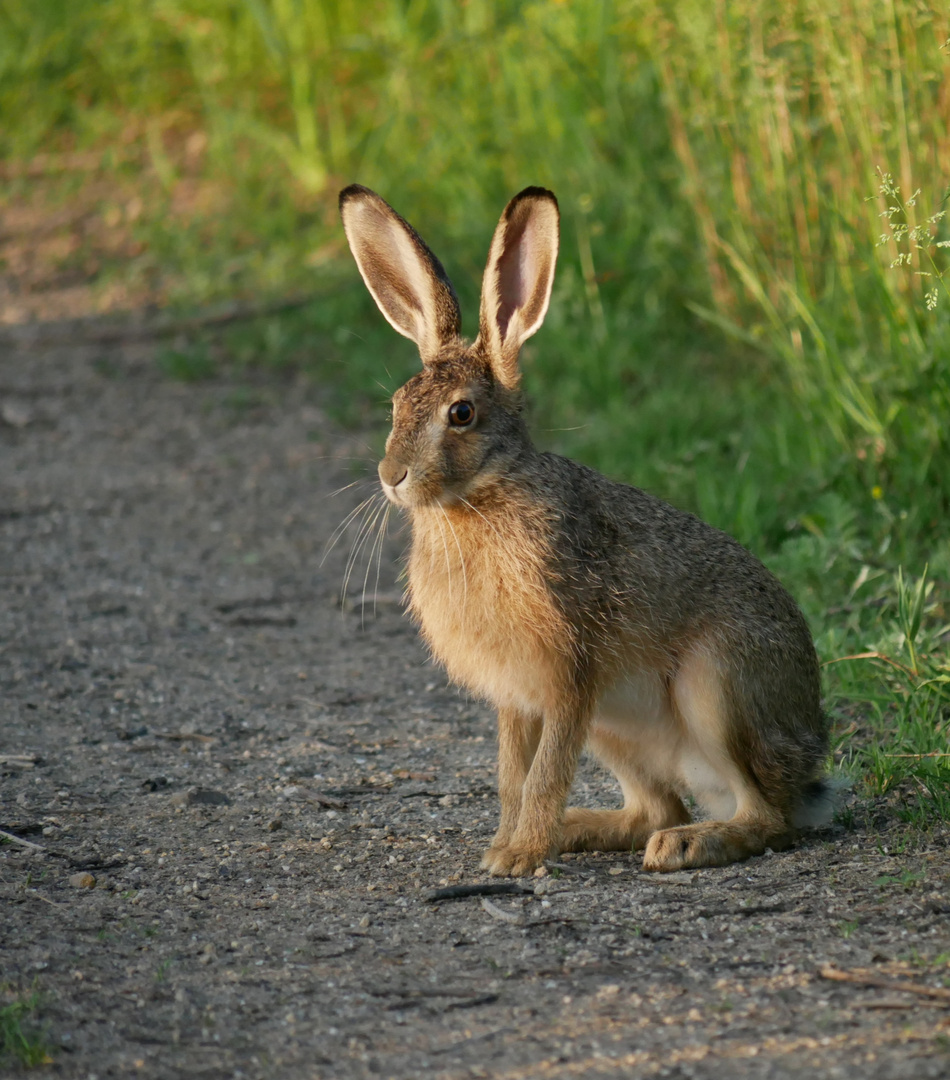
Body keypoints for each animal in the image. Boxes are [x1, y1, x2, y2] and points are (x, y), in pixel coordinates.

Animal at [339, 183, 832, 878]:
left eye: (461, 414)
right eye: (396, 406)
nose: (392, 477)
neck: (483, 496)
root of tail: (809, 763)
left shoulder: (569, 675)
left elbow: (543, 774)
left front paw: (518, 857)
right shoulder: (520, 700)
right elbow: (512, 777)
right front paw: (505, 845)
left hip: (716, 689)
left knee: (768, 819)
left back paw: (687, 844)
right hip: (615, 725)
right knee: (658, 808)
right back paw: (582, 831)